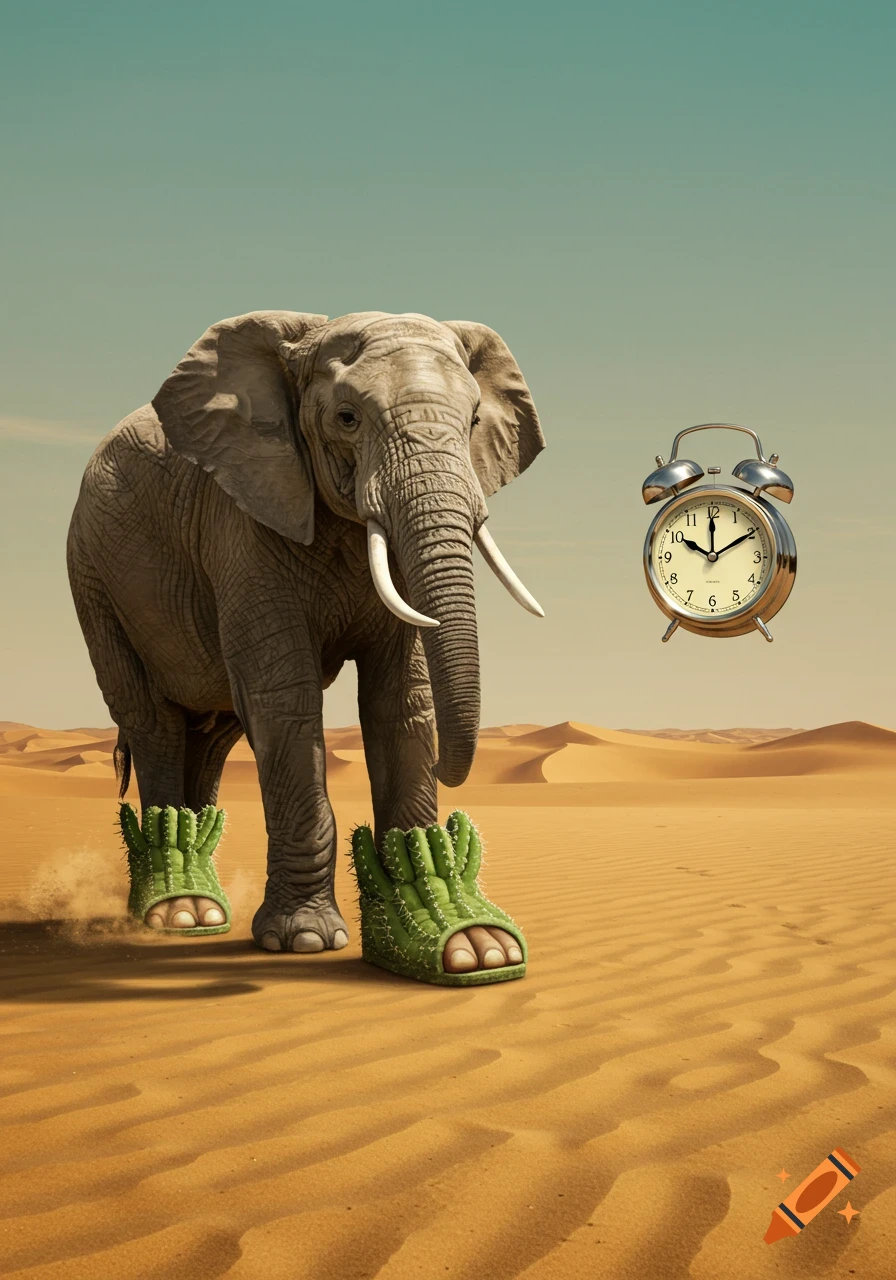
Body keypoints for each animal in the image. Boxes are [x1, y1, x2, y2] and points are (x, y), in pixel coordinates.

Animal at [67, 310, 545, 977]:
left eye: (474, 420)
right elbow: (284, 701)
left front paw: (467, 948)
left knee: (211, 736)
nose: (454, 789)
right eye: (347, 418)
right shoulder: (244, 520)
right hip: (93, 577)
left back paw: (204, 904)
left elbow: (400, 701)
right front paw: (304, 941)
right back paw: (179, 913)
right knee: (153, 721)